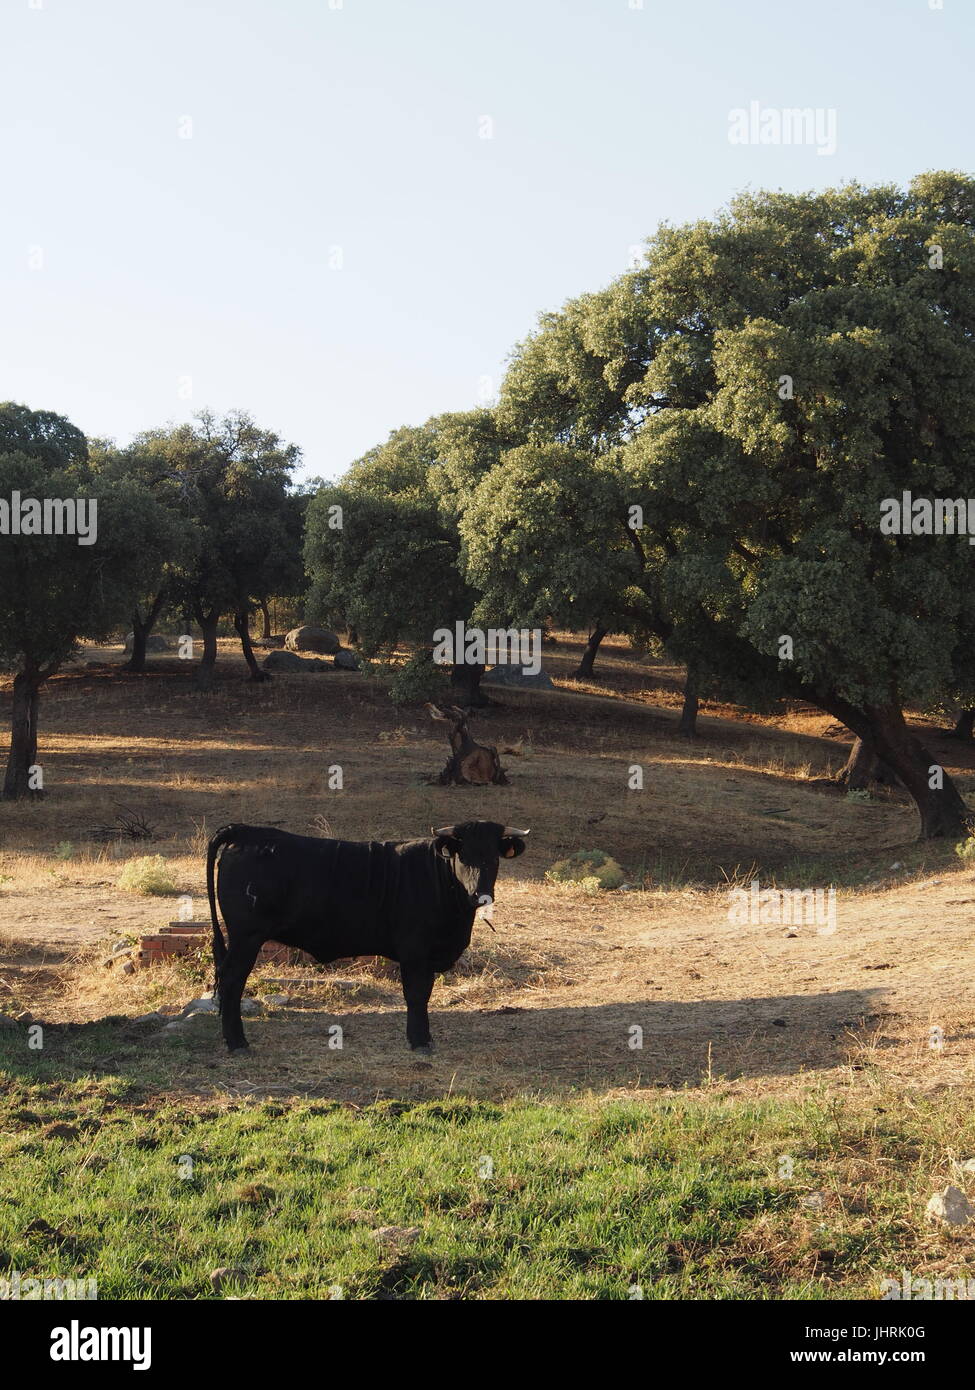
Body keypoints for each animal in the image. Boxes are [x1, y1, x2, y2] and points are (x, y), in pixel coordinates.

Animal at [206, 820, 529, 1054]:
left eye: (493, 858)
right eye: (464, 857)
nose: (480, 894)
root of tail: (245, 831)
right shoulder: (415, 951)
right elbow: (416, 994)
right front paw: (419, 1041)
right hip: (246, 937)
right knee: (233, 980)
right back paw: (238, 1043)